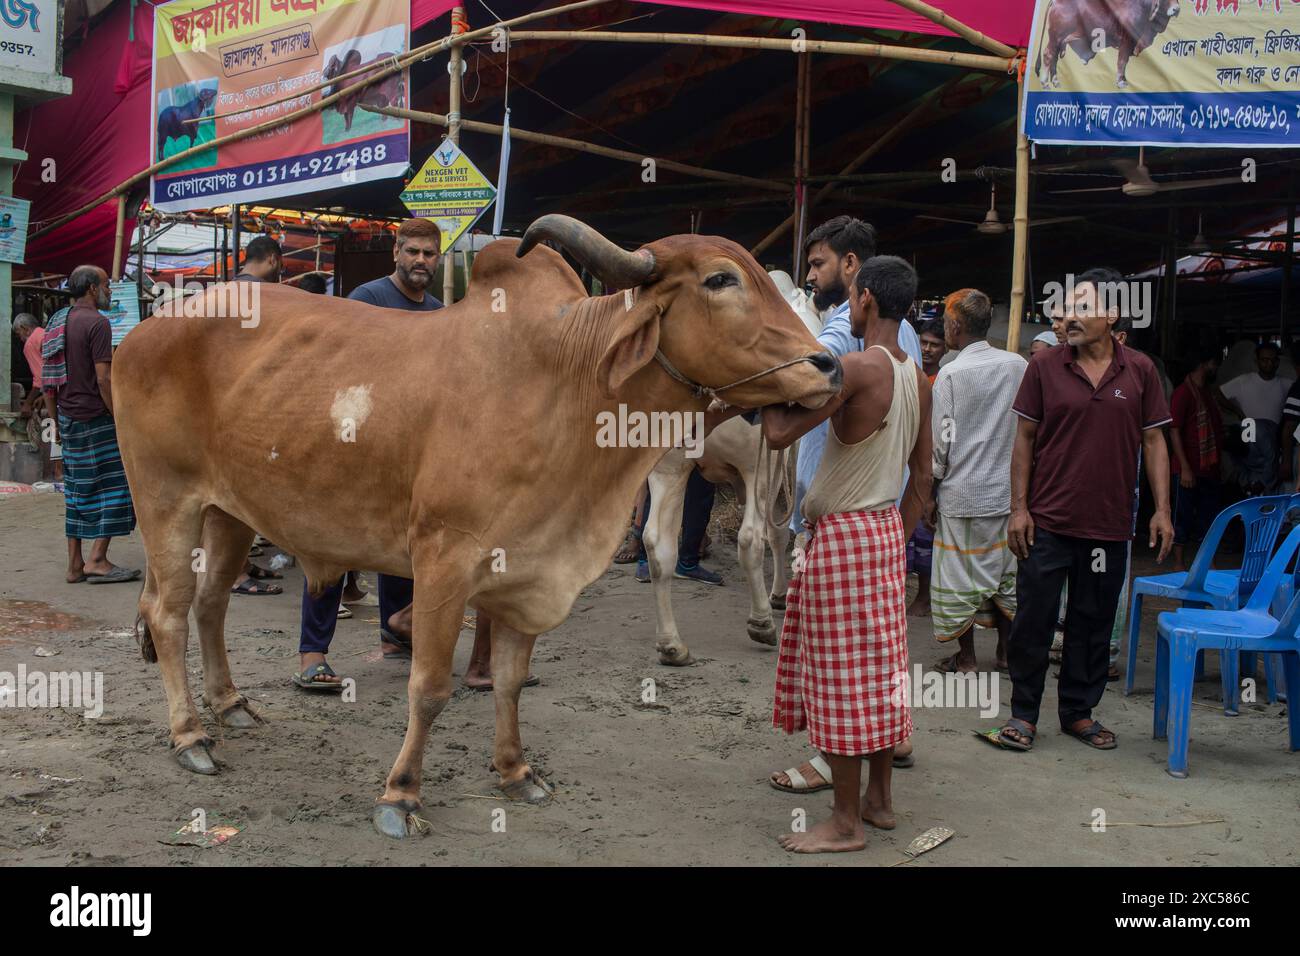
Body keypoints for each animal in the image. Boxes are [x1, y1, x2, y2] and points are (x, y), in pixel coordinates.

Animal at [112, 215, 842, 839]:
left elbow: (512, 680)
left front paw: (516, 771)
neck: (565, 382)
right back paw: (190, 736)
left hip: (230, 512)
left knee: (210, 606)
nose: (828, 367)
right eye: (721, 279)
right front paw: (400, 794)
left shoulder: (527, 569)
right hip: (165, 500)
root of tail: (148, 328)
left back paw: (231, 705)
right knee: (168, 612)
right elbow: (430, 687)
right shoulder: (443, 559)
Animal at [1037, 0, 1180, 89]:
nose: (1176, 9)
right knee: (1048, 55)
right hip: (1055, 37)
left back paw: (1056, 82)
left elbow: (1125, 62)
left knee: (1054, 58)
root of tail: (1056, 2)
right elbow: (1122, 61)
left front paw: (1124, 79)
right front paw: (1121, 82)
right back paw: (1044, 83)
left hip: (1060, 41)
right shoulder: (1127, 41)